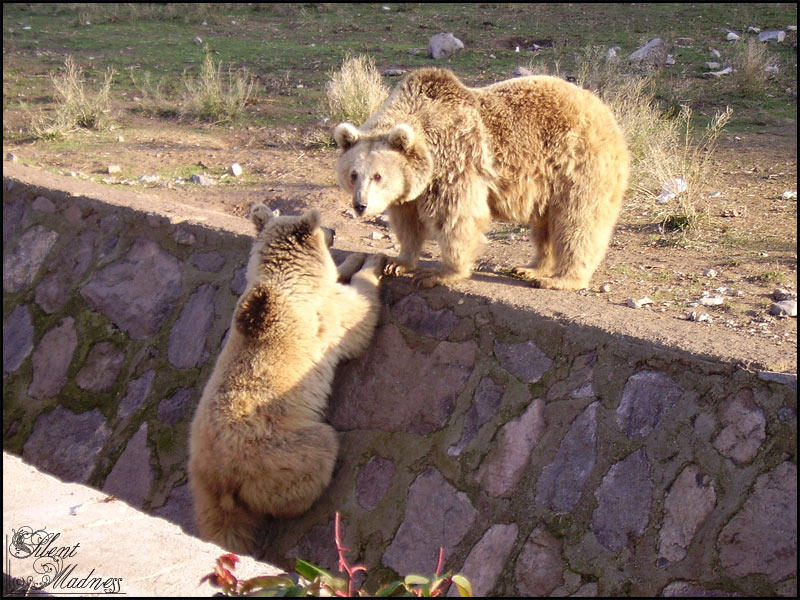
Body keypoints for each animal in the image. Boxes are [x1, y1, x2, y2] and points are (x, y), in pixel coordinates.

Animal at [188, 203, 386, 555]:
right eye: (323, 228)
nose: (334, 231)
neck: (284, 278)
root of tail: (224, 480)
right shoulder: (327, 319)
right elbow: (361, 311)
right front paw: (374, 261)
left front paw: (351, 260)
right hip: (279, 451)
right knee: (320, 447)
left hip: (201, 485)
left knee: (221, 526)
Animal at [333, 67, 629, 291]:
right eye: (353, 175)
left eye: (378, 175)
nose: (360, 205)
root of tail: (604, 111)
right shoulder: (411, 193)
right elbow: (408, 224)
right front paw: (399, 262)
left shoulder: (456, 165)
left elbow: (457, 218)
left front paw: (438, 274)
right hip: (549, 184)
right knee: (545, 226)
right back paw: (531, 268)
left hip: (578, 165)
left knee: (578, 221)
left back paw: (561, 279)